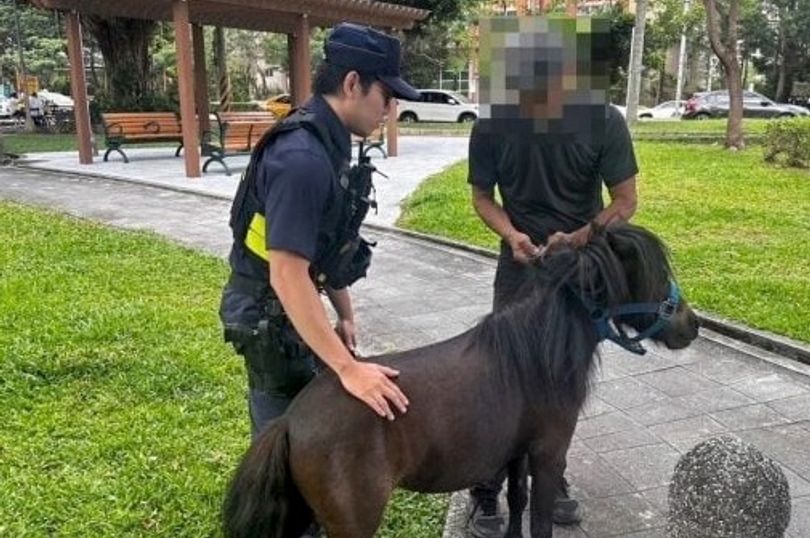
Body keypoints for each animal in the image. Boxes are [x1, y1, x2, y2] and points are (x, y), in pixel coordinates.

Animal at [222, 222, 700, 538]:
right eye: (655, 274)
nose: (690, 325)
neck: (533, 358)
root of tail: (289, 421)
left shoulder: (517, 453)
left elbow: (516, 502)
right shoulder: (547, 455)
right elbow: (540, 520)